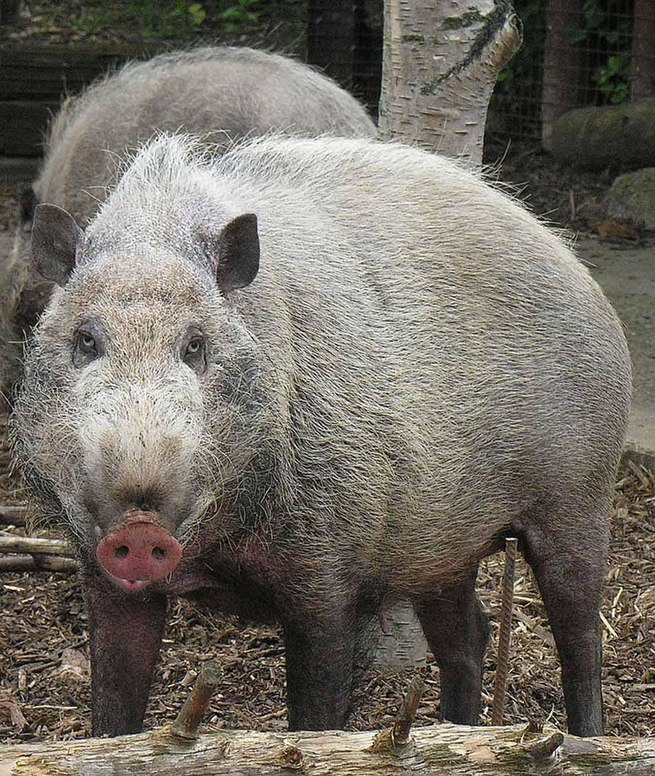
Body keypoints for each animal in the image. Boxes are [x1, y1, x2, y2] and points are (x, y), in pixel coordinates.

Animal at [11, 133, 631, 738]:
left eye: (195, 345)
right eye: (86, 340)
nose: (139, 528)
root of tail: (585, 279)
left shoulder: (330, 570)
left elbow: (317, 719)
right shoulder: (101, 572)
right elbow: (111, 714)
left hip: (581, 495)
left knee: (582, 637)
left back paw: (586, 739)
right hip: (444, 547)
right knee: (468, 636)